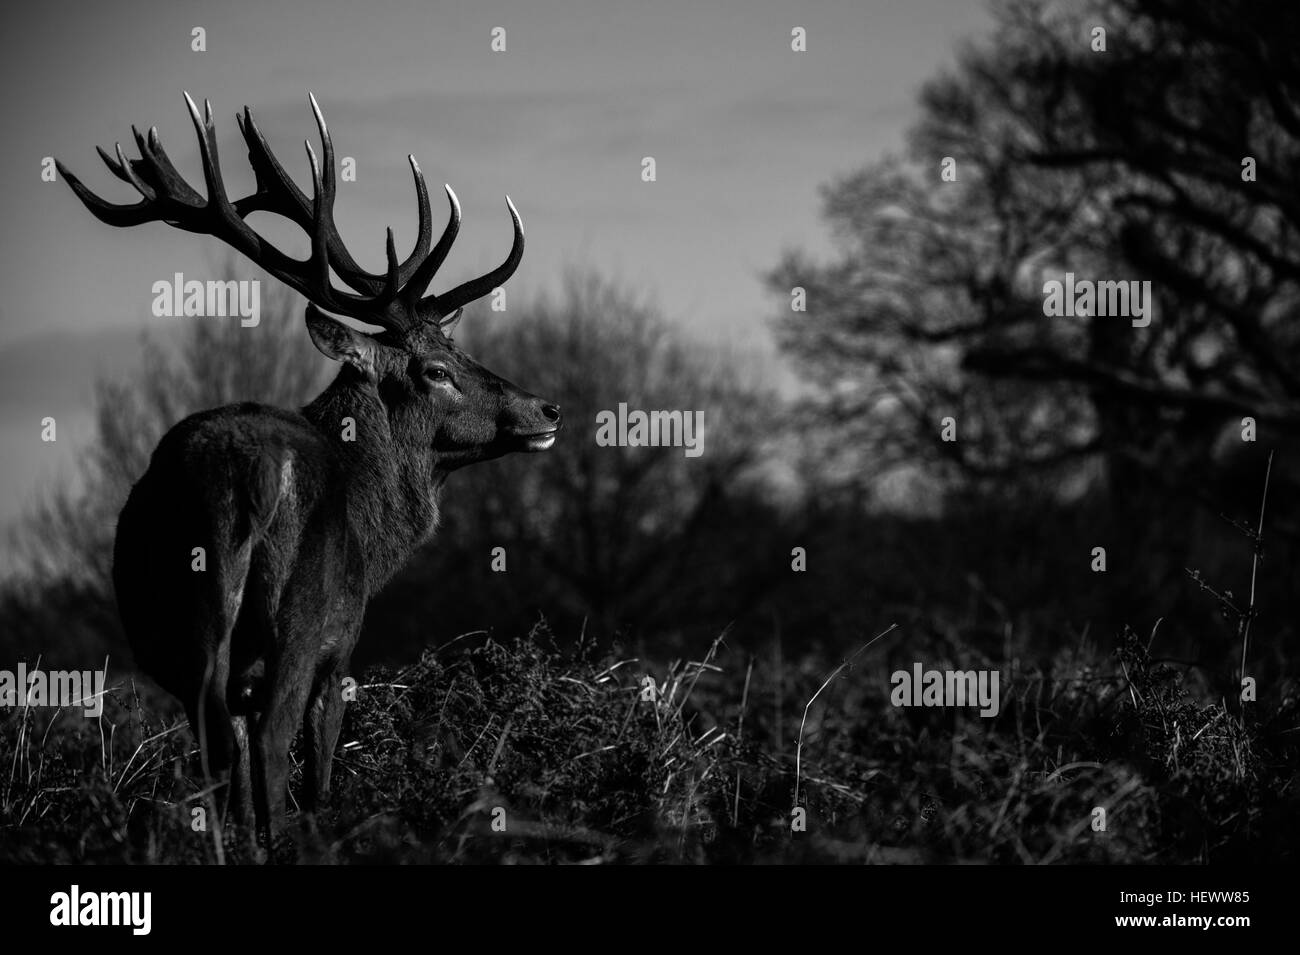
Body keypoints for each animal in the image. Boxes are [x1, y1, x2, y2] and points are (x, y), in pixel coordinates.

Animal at [57, 92, 561, 849]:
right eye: (436, 370)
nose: (547, 408)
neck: (379, 535)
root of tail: (241, 477)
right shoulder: (342, 640)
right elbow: (319, 767)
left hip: (176, 635)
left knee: (215, 751)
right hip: (297, 616)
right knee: (270, 740)